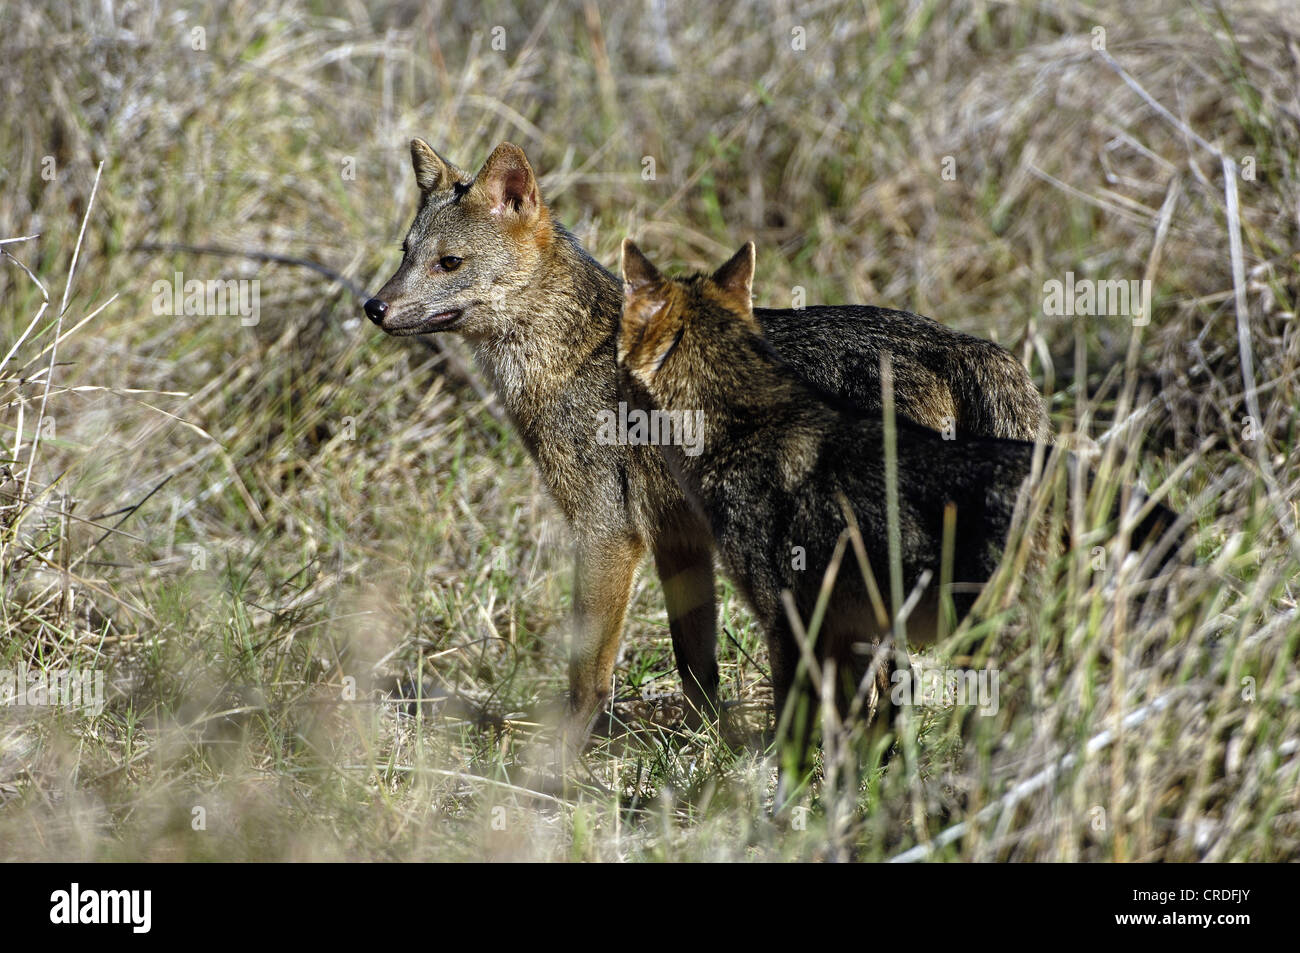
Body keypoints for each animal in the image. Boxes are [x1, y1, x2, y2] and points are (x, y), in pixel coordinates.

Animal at [364, 138, 1049, 747]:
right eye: (404, 254)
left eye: (449, 264)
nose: (373, 306)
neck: (576, 353)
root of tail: (965, 344)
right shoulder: (679, 538)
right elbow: (697, 665)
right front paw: (705, 748)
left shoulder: (608, 533)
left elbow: (588, 678)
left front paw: (559, 761)